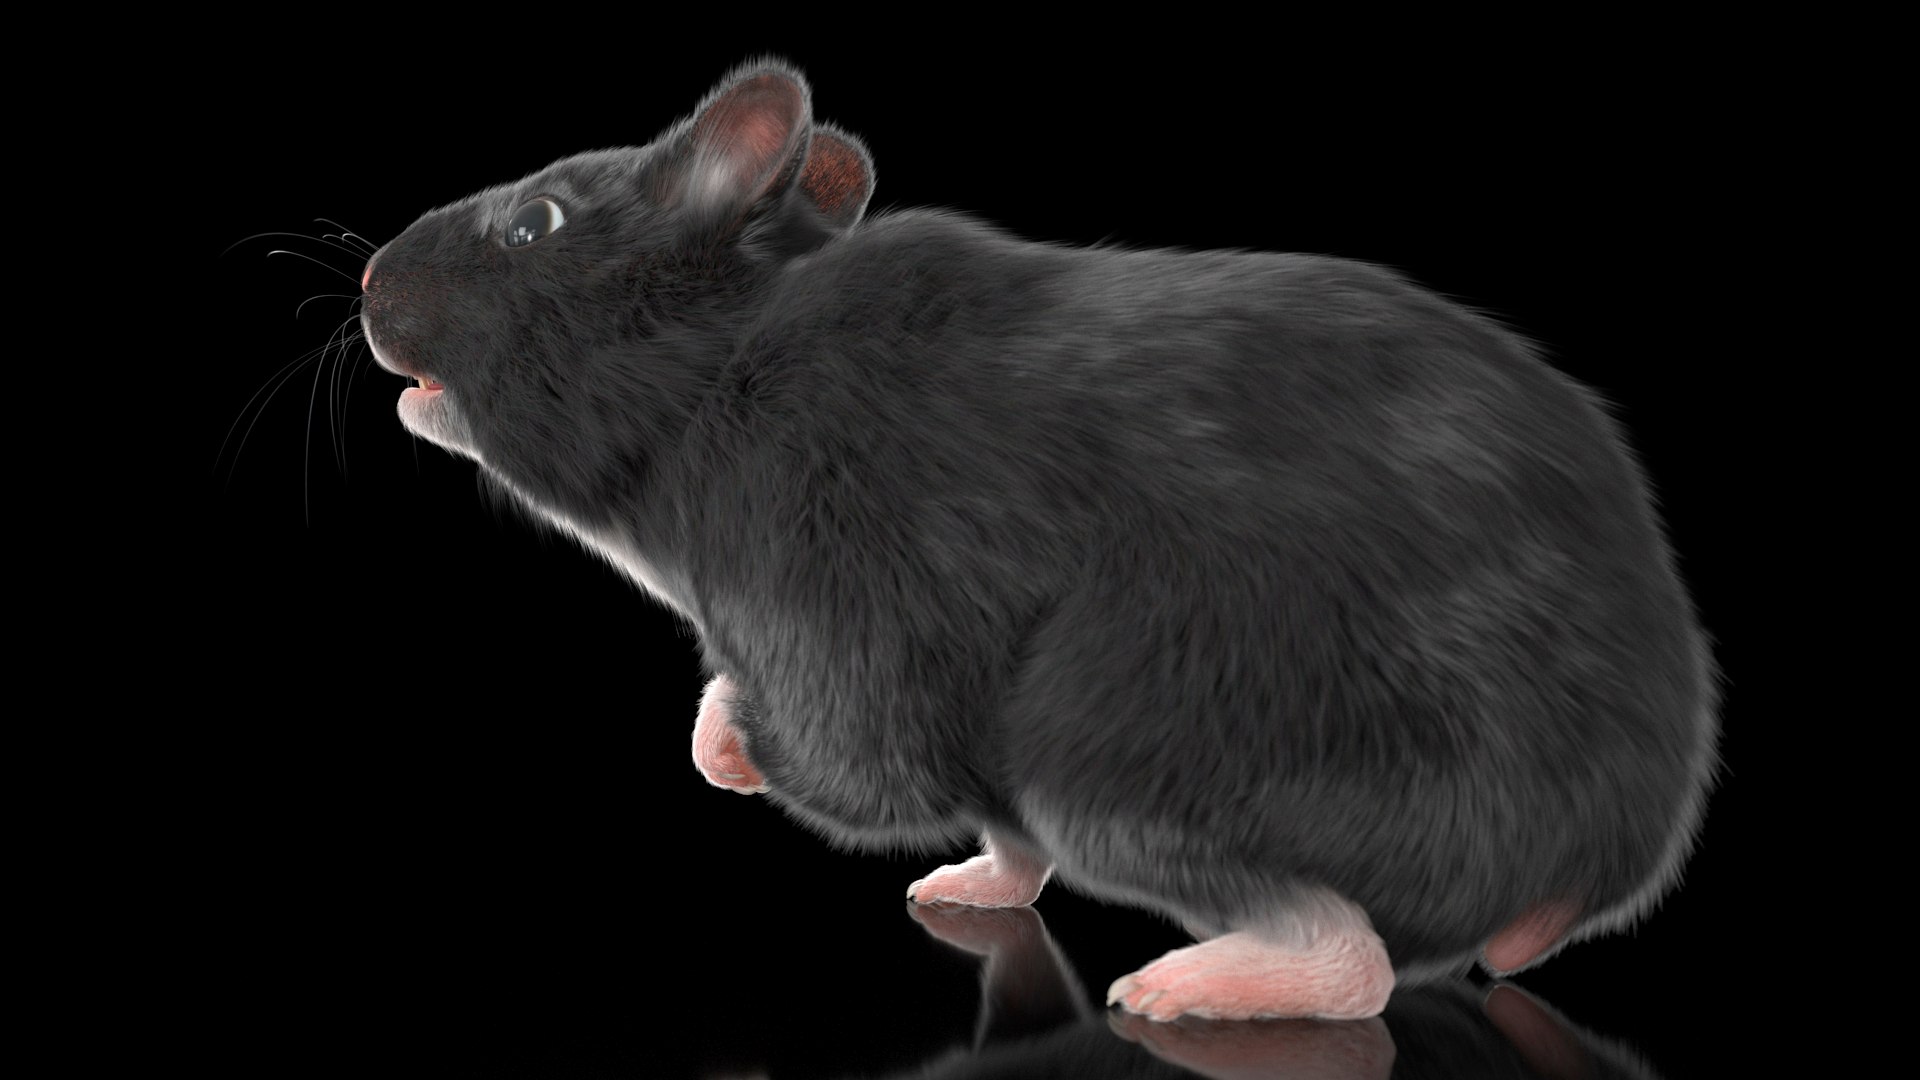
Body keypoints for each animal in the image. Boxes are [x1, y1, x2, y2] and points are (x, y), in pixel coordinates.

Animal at [359, 60, 1719, 1022]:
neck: (722, 363)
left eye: (532, 224)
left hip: (1113, 747)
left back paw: (1182, 989)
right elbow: (986, 825)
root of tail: (1610, 847)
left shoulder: (836, 630)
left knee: (1353, 962)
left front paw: (728, 745)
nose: (369, 285)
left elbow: (836, 758)